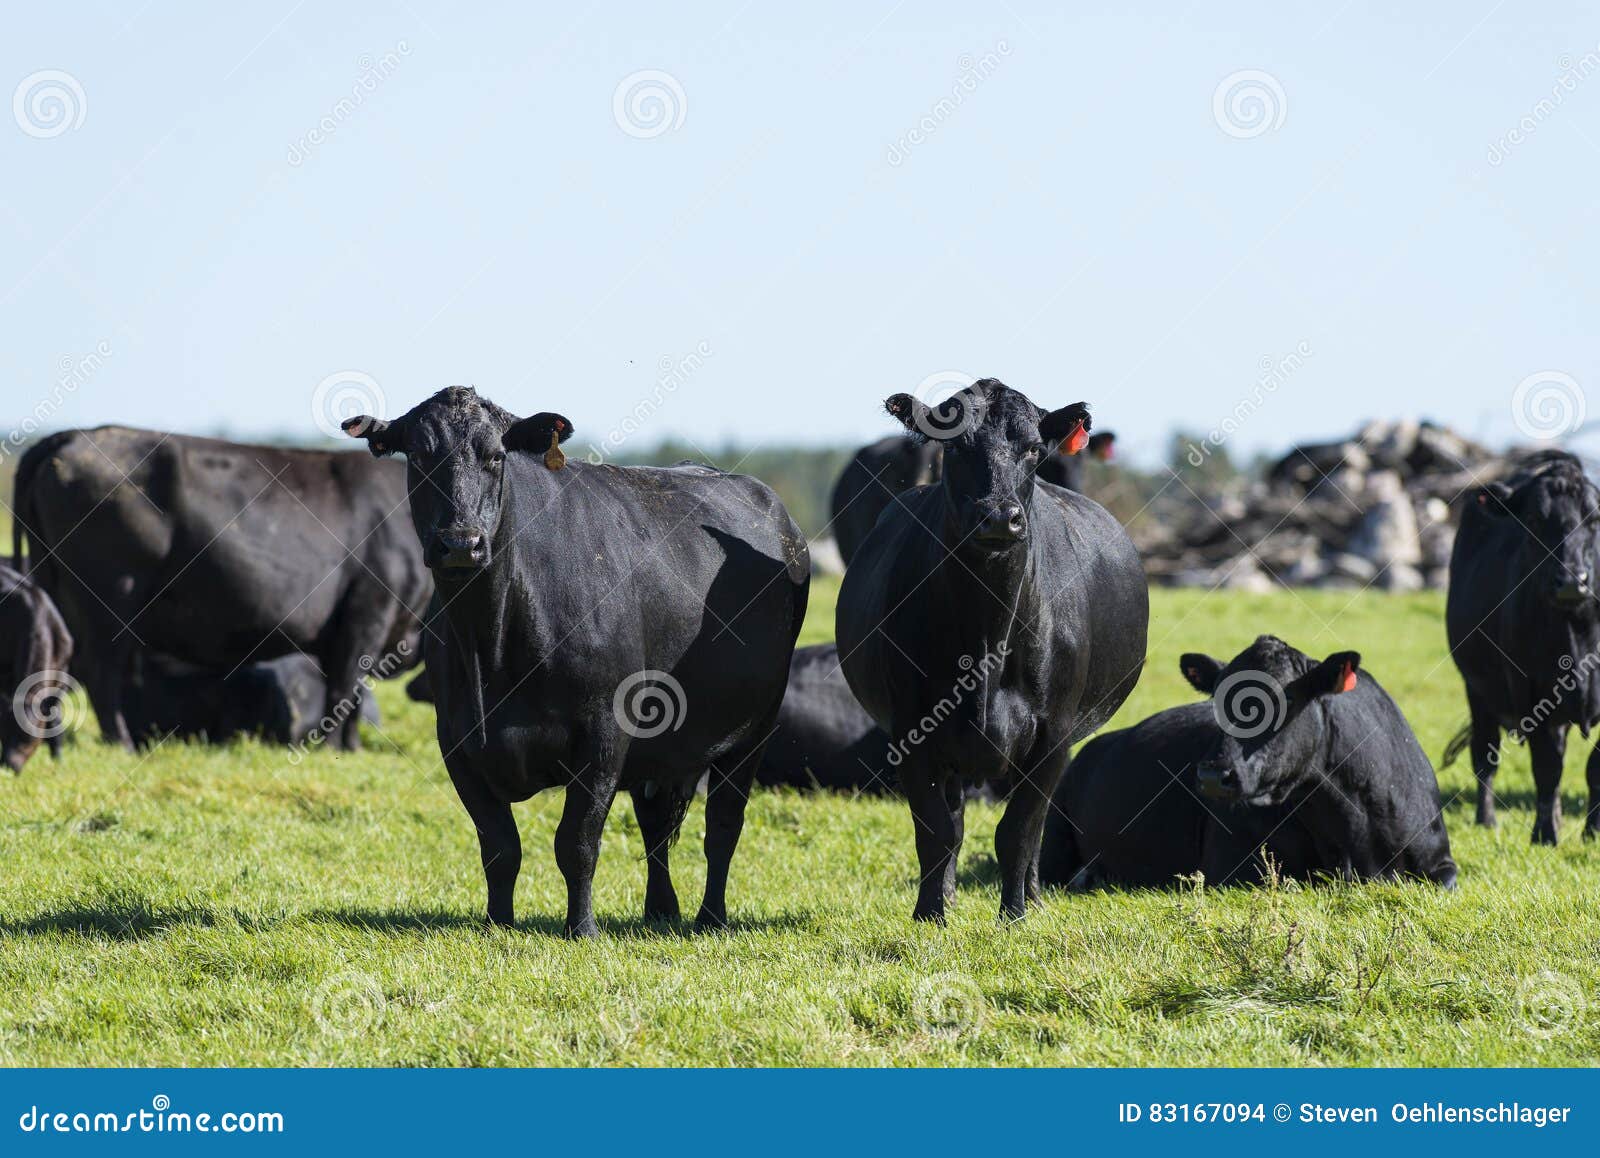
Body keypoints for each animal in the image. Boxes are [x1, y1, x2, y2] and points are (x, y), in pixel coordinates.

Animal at [0, 560, 74, 773]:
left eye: (28, 737)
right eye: (3, 733)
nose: (8, 765)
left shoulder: (62, 675)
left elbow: (56, 720)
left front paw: (58, 761)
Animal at [341, 386, 809, 937]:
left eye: (496, 456)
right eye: (418, 456)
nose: (461, 542)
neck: (491, 646)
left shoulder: (605, 731)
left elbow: (577, 841)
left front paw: (581, 928)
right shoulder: (456, 741)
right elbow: (500, 846)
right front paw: (498, 921)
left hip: (754, 728)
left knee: (723, 826)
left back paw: (710, 916)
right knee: (655, 825)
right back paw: (660, 909)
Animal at [1445, 450, 1600, 844]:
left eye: (1595, 519)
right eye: (1533, 520)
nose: (1571, 582)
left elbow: (1594, 766)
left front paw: (1592, 831)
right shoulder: (1531, 688)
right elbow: (1546, 767)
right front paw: (1544, 836)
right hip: (1476, 689)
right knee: (1484, 756)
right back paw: (1487, 819)